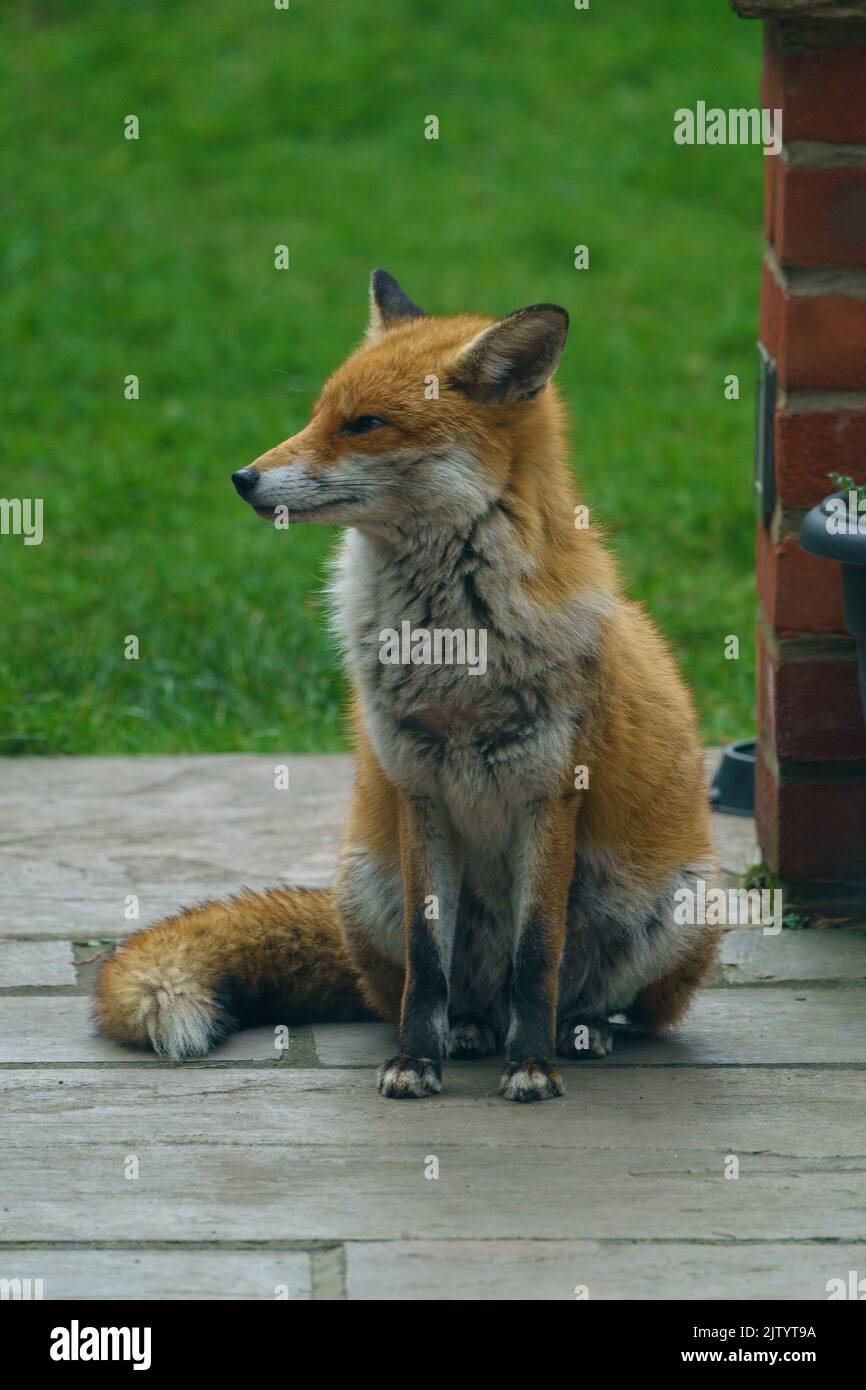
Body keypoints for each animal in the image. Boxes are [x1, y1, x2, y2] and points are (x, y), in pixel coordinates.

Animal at [94, 270, 719, 1102]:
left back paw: (572, 1034)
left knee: (603, 1002)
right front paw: (417, 1058)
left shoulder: (548, 798)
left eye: (364, 424)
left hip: (673, 908)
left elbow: (536, 957)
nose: (242, 478)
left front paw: (531, 1066)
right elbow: (428, 964)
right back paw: (468, 1031)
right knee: (424, 990)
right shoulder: (420, 791)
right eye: (318, 414)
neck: (450, 656)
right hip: (367, 886)